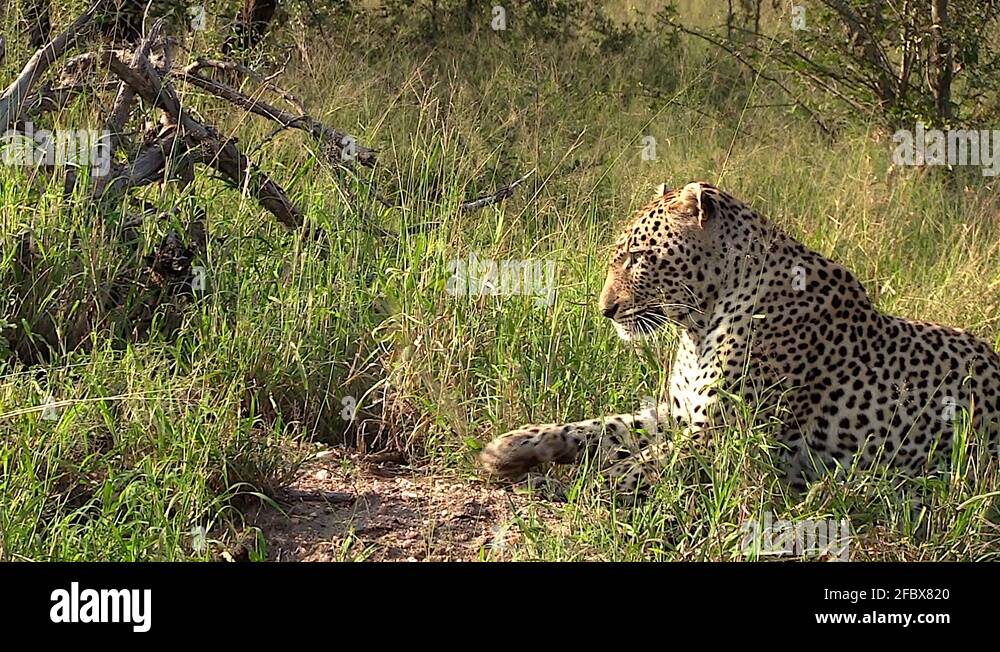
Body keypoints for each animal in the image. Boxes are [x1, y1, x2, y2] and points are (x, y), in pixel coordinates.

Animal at [479, 181, 1000, 494]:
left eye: (638, 257)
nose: (606, 310)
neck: (697, 326)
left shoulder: (721, 437)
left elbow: (628, 467)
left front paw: (566, 489)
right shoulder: (676, 414)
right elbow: (600, 427)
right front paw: (513, 447)